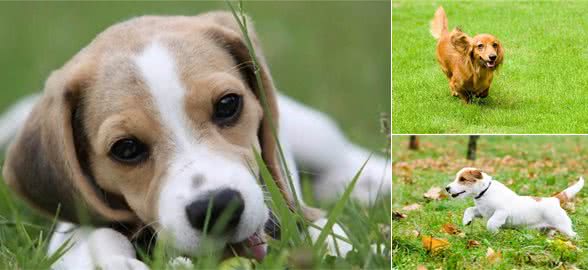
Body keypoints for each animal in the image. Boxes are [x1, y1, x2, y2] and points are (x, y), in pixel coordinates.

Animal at [1, 10, 390, 268]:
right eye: (126, 148)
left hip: (313, 132)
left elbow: (320, 226)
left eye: (228, 105)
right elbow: (96, 234)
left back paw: (373, 182)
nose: (217, 208)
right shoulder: (74, 223)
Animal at [446, 167, 584, 238]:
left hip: (564, 227)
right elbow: (469, 209)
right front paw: (467, 220)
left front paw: (494, 232)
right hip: (547, 230)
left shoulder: (501, 212)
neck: (485, 191)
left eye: (462, 179)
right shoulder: (481, 211)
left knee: (574, 235)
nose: (447, 188)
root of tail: (554, 199)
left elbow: (491, 222)